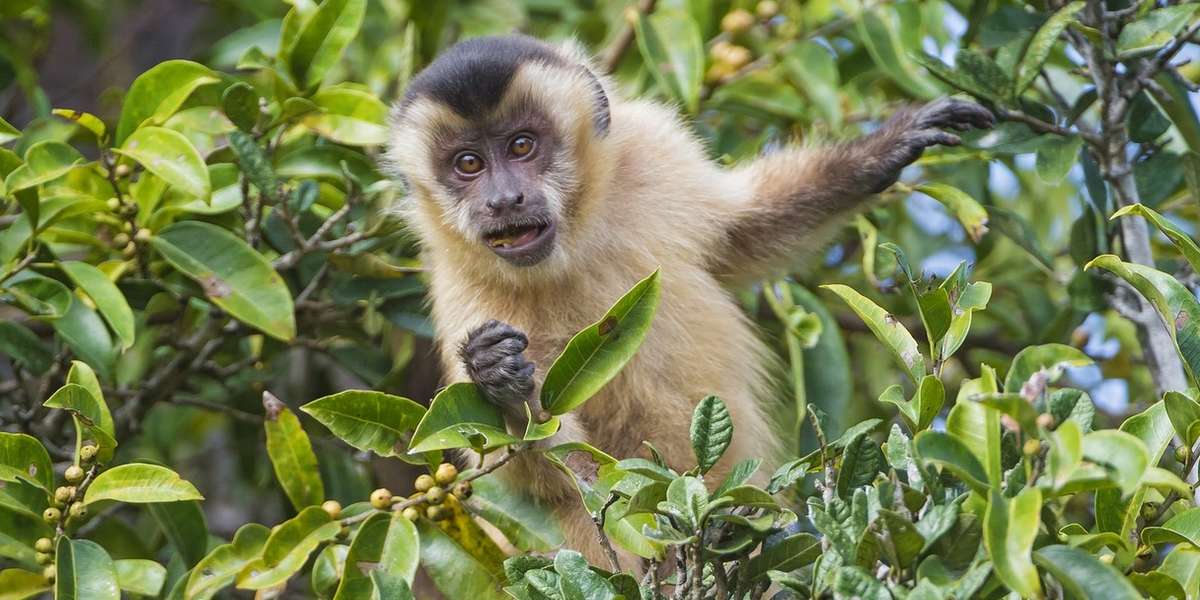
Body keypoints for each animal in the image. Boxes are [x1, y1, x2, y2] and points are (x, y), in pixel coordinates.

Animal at [385, 34, 994, 567]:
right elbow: (532, 476)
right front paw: (501, 381)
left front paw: (883, 149)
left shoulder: (654, 153)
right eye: (468, 164)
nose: (503, 199)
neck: (573, 245)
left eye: (521, 146)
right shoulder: (460, 287)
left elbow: (743, 233)